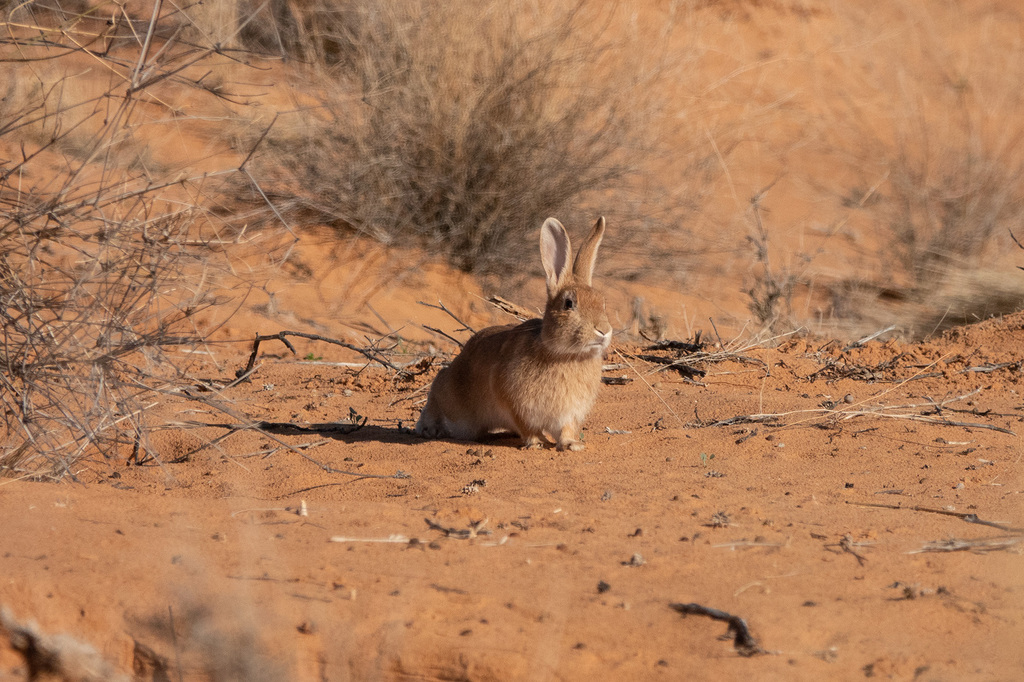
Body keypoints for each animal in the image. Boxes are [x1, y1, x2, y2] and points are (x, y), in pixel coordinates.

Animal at [416, 216, 612, 451]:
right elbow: (527, 427)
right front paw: (537, 443)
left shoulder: (569, 415)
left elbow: (565, 430)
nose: (604, 330)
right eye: (568, 304)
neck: (566, 355)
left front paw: (572, 445)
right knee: (436, 399)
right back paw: (427, 429)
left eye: (602, 302)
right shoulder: (514, 403)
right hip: (454, 402)